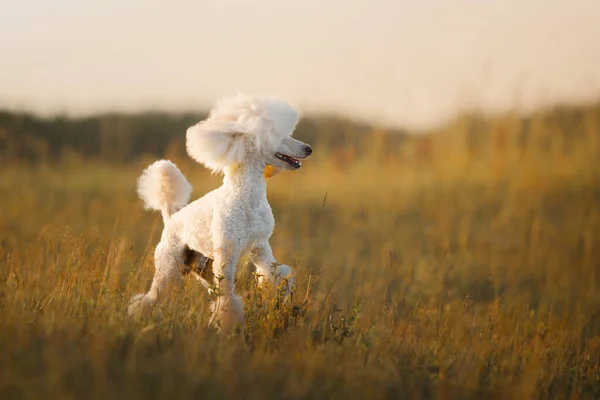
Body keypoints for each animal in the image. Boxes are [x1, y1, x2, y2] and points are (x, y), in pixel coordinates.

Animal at [127, 94, 314, 332]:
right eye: (278, 136)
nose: (309, 148)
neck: (247, 198)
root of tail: (170, 218)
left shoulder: (260, 246)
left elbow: (274, 273)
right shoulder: (227, 252)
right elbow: (227, 301)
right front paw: (227, 325)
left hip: (205, 268)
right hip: (169, 264)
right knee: (153, 297)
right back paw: (141, 317)